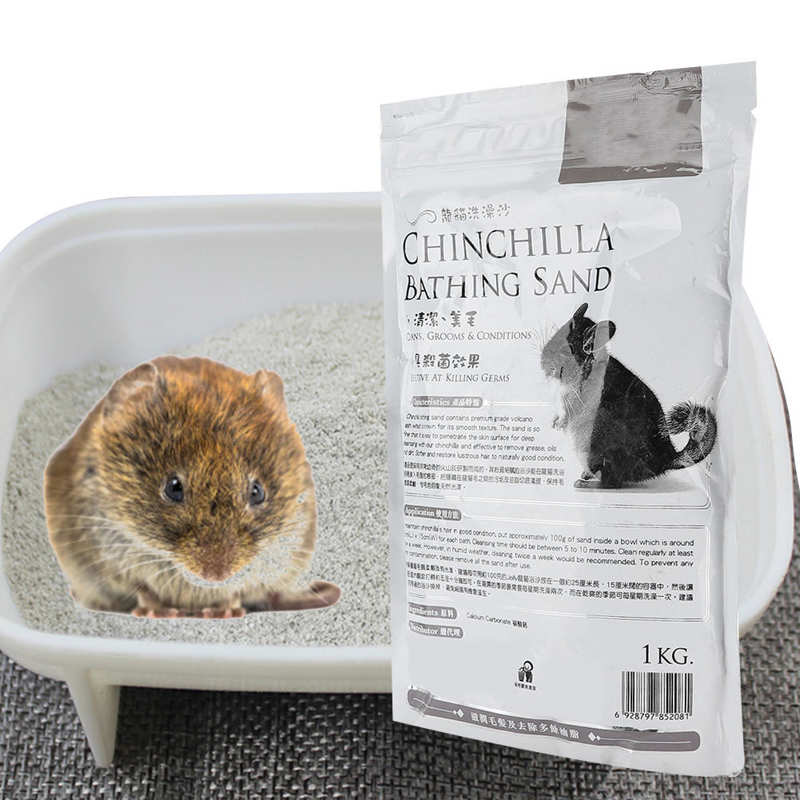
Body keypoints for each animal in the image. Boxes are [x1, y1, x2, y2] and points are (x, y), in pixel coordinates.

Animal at [44, 355, 340, 618]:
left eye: (257, 492)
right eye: (173, 487)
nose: (216, 575)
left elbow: (236, 591)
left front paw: (225, 612)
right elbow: (143, 590)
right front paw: (156, 612)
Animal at [540, 302, 717, 489]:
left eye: (565, 351)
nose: (542, 362)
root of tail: (666, 458)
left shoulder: (577, 397)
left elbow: (568, 410)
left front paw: (559, 424)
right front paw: (554, 422)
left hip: (599, 445)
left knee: (610, 482)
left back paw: (584, 483)